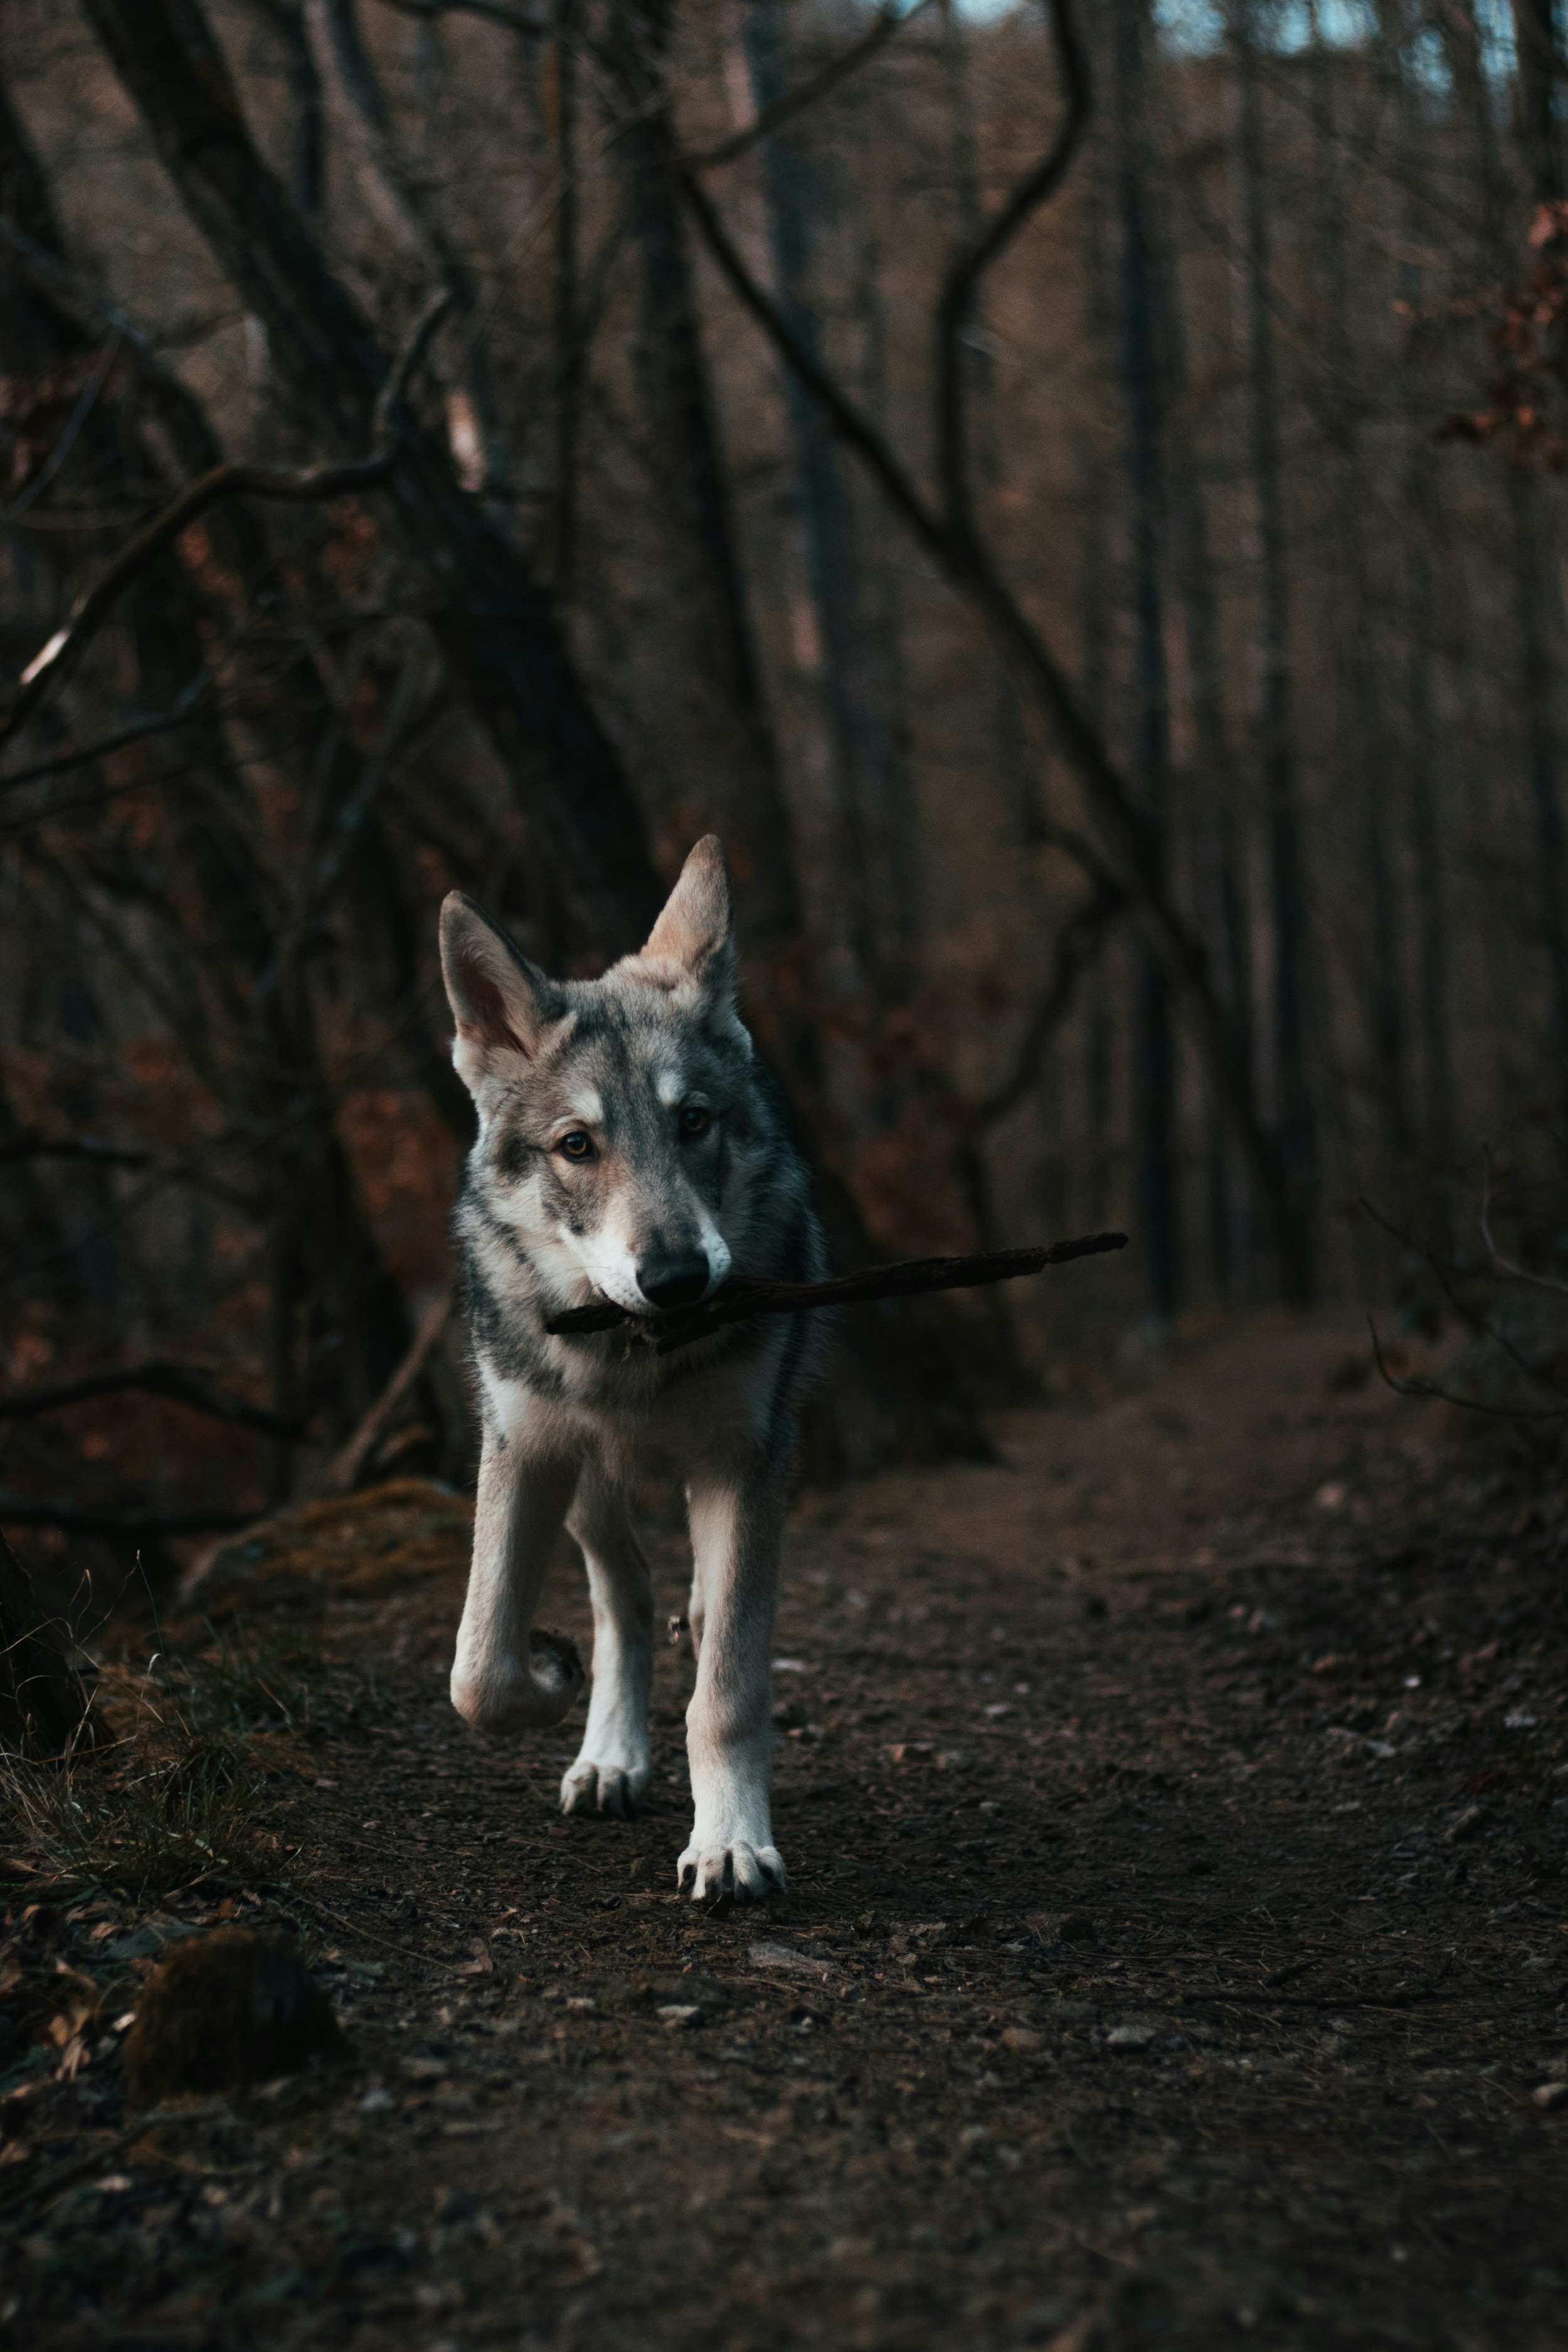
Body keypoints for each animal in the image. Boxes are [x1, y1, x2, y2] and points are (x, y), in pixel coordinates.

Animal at [438, 836, 828, 1902]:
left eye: (693, 1120)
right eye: (578, 1145)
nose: (679, 1275)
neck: (634, 1351)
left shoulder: (747, 1462)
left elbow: (726, 1692)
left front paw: (731, 1843)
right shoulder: (524, 1449)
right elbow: (478, 1668)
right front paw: (546, 1676)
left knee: (692, 1606)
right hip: (585, 1486)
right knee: (628, 1597)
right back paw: (609, 1756)